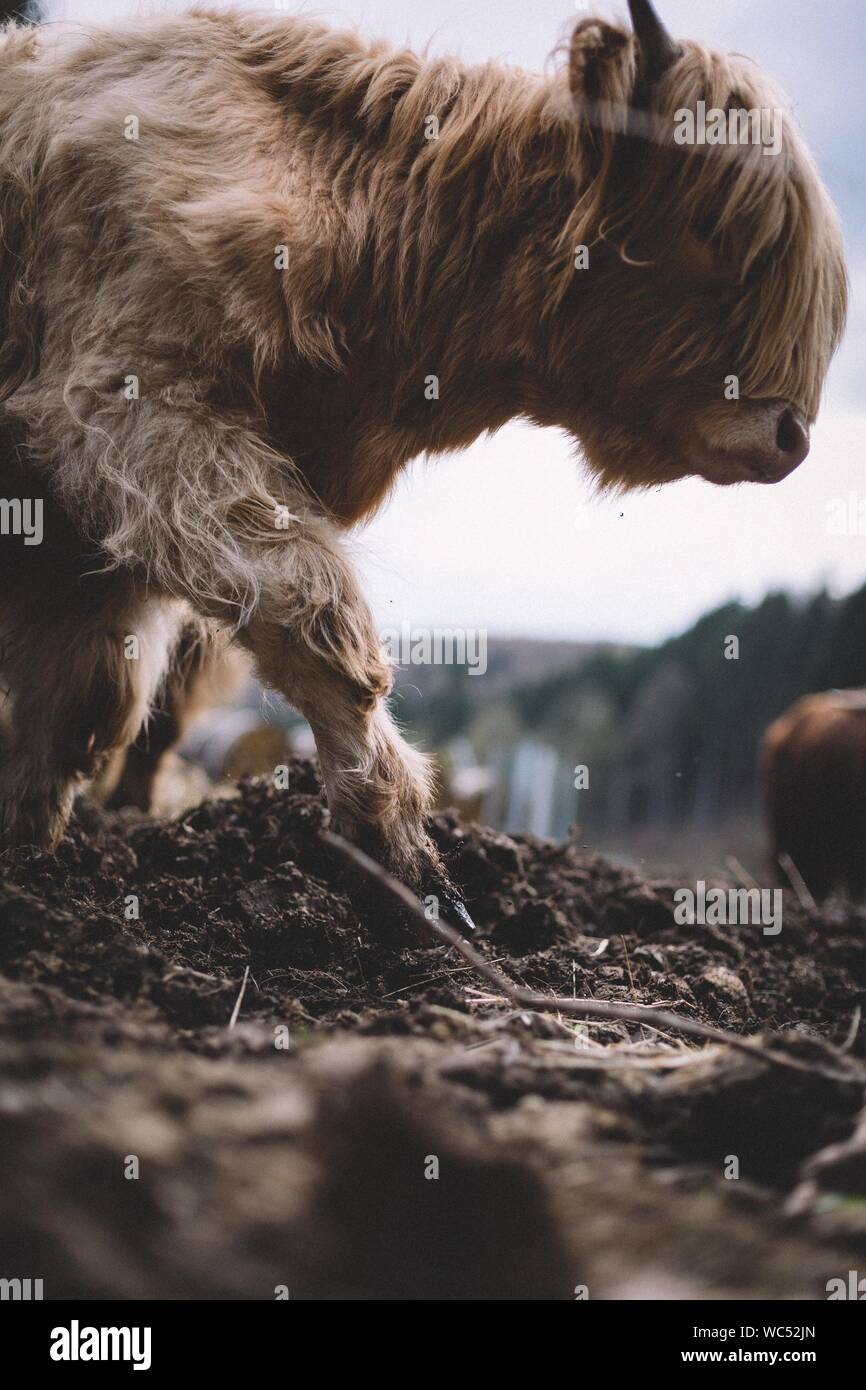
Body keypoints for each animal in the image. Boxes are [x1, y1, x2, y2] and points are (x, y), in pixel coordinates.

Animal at [0, 2, 847, 919]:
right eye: (719, 230)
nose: (793, 437)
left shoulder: (91, 530)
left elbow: (85, 701)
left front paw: (28, 853)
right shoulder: (129, 408)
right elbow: (308, 606)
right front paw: (395, 841)